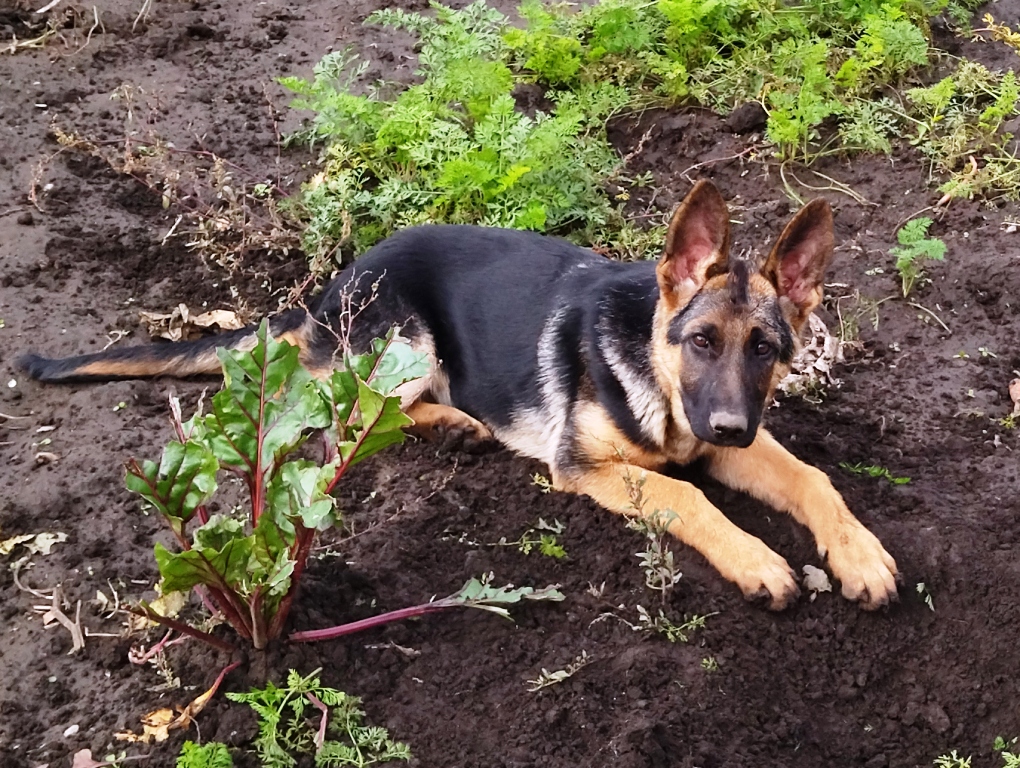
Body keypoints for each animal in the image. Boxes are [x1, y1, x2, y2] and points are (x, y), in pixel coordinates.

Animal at [21, 181, 901, 611]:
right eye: (702, 342)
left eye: (766, 350)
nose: (727, 425)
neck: (655, 375)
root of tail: (322, 293)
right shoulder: (585, 468)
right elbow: (689, 500)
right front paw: (758, 561)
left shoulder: (733, 446)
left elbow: (811, 478)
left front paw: (858, 553)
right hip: (408, 344)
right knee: (349, 418)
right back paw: (449, 424)